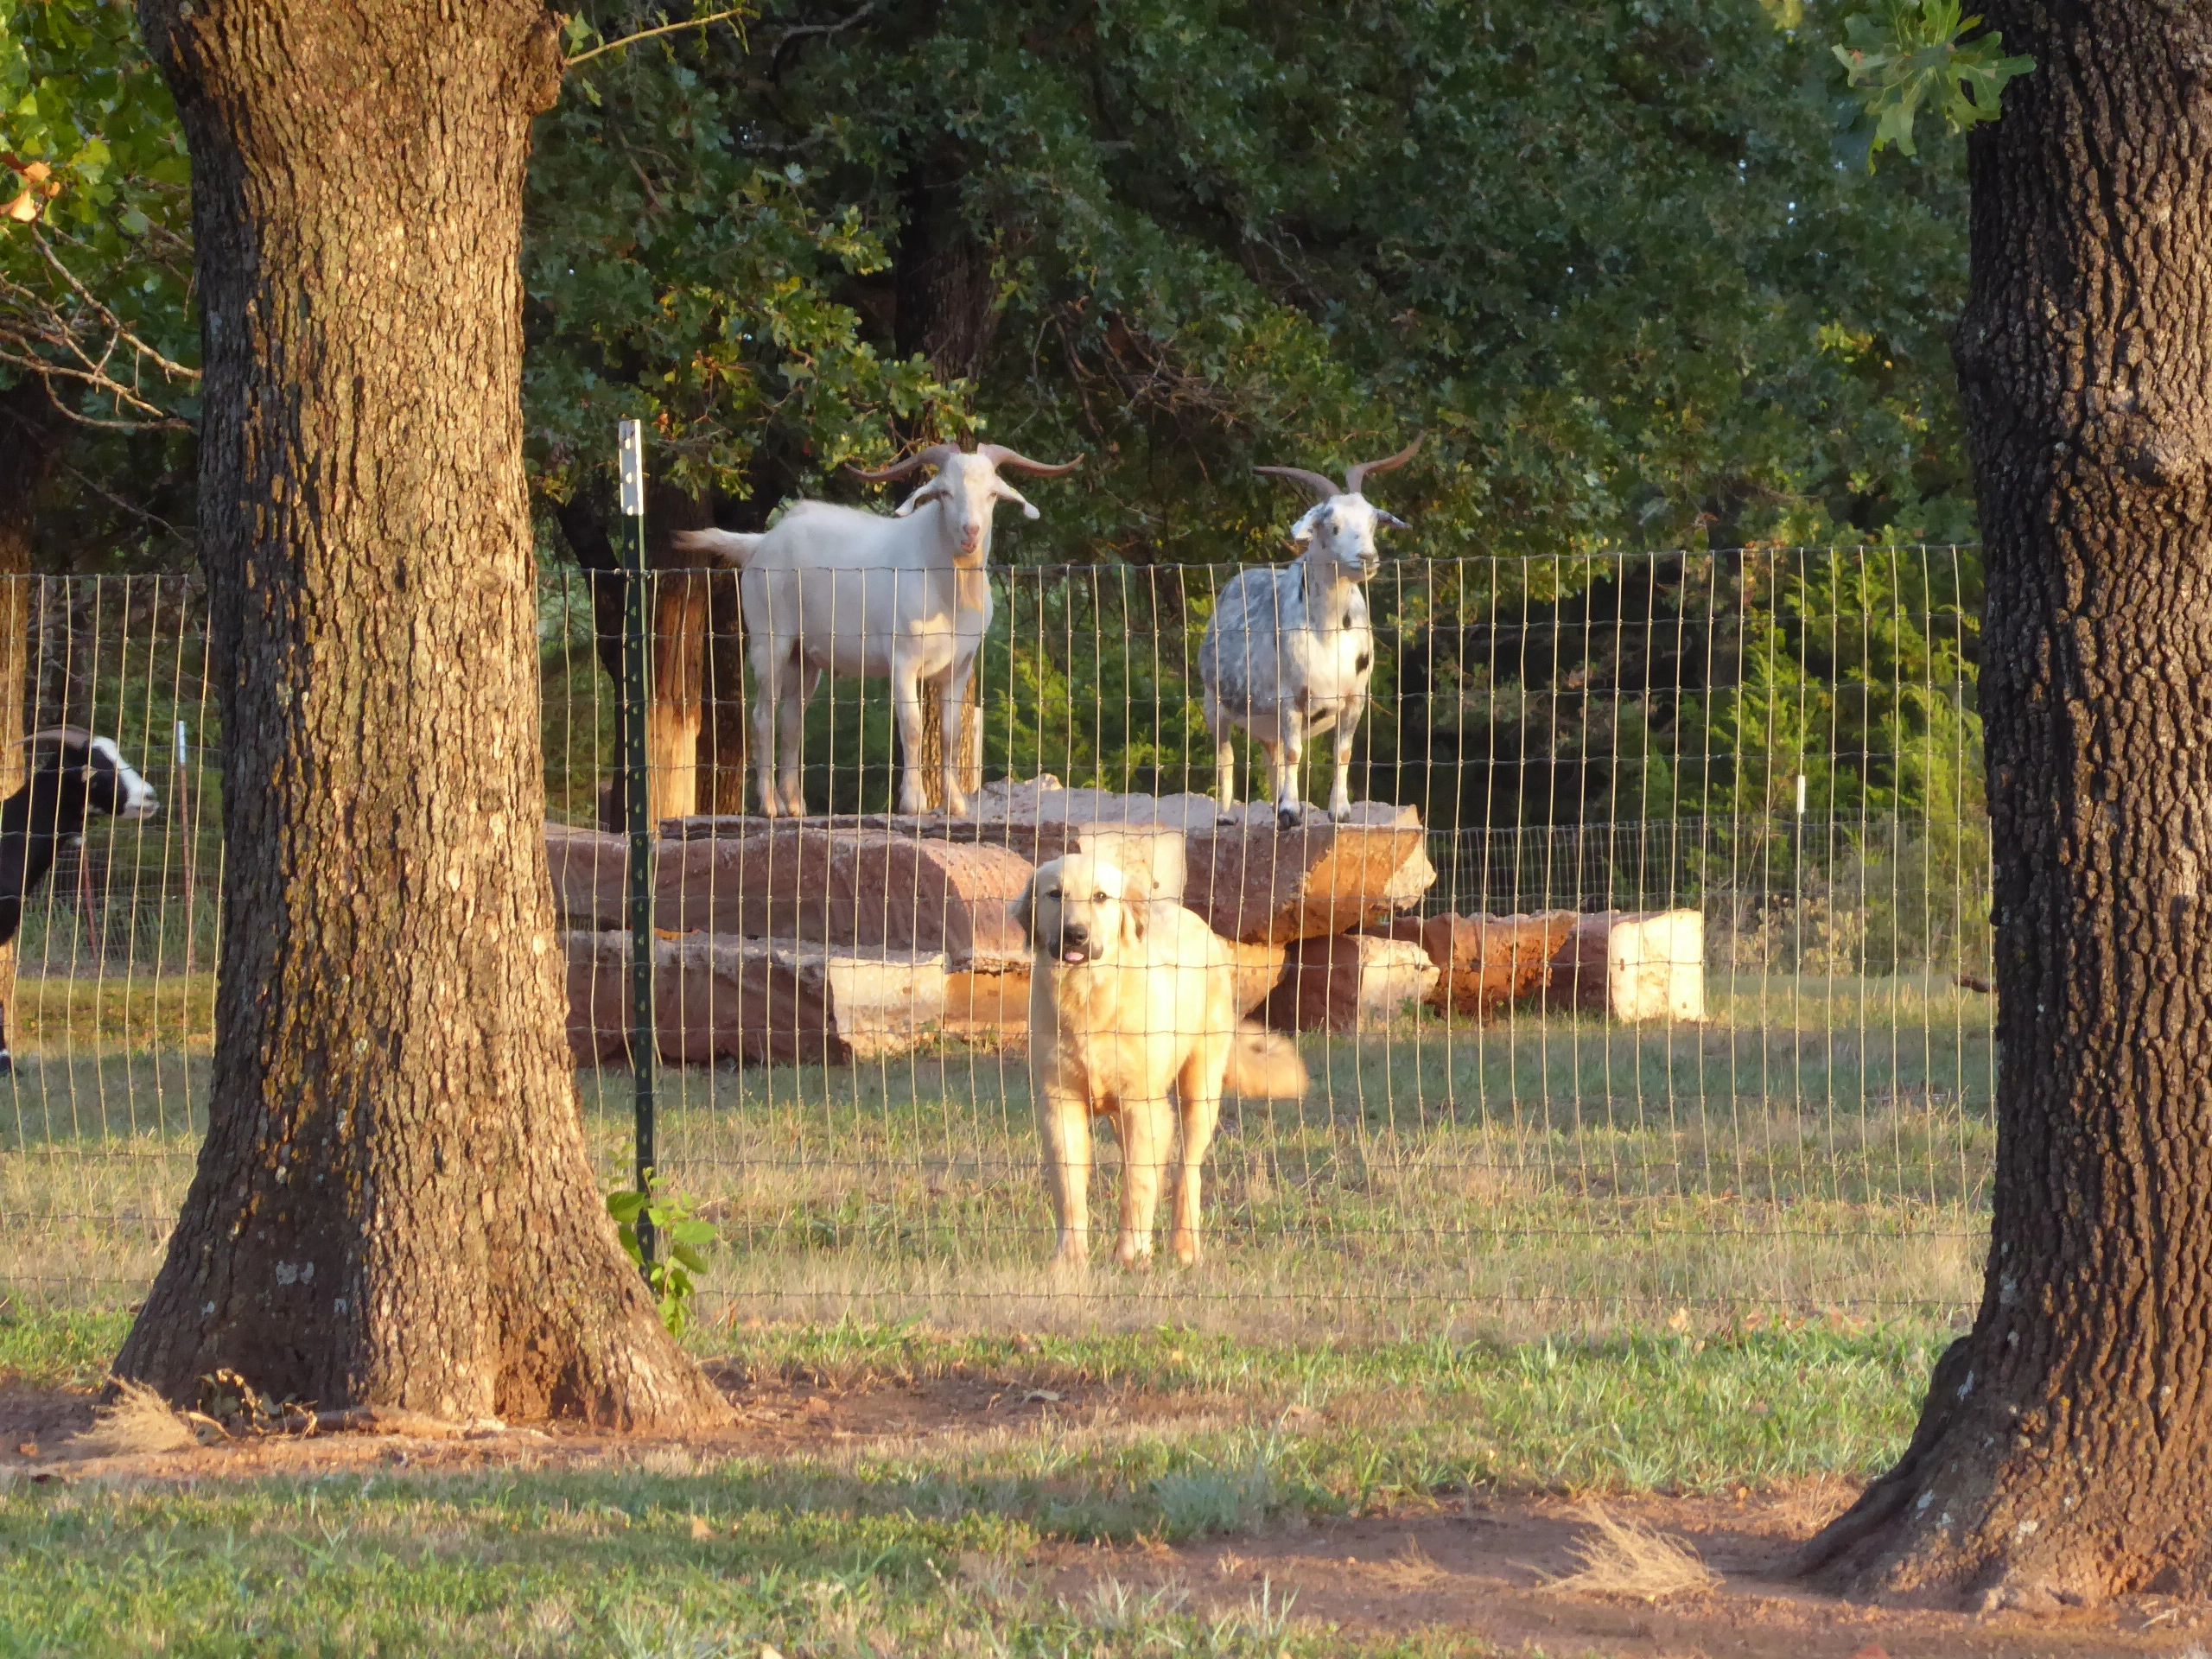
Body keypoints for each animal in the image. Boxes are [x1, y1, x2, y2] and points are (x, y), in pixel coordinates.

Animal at [673, 442, 1082, 818]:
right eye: (946, 492)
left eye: (992, 494)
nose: (971, 532)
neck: (944, 587)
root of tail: (761, 543)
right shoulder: (903, 659)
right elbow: (913, 726)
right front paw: (913, 802)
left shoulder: (960, 667)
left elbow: (952, 733)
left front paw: (955, 803)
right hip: (769, 638)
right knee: (762, 717)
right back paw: (770, 805)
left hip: (804, 658)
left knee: (791, 720)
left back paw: (796, 806)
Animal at [1199, 439, 1419, 827]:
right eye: (1331, 525)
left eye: (1373, 521)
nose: (1367, 558)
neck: (1329, 633)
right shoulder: (1291, 698)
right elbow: (1293, 752)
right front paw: (1291, 812)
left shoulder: (1354, 698)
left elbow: (1342, 751)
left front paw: (1338, 811)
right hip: (1215, 702)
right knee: (1226, 754)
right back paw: (1227, 816)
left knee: (1271, 755)